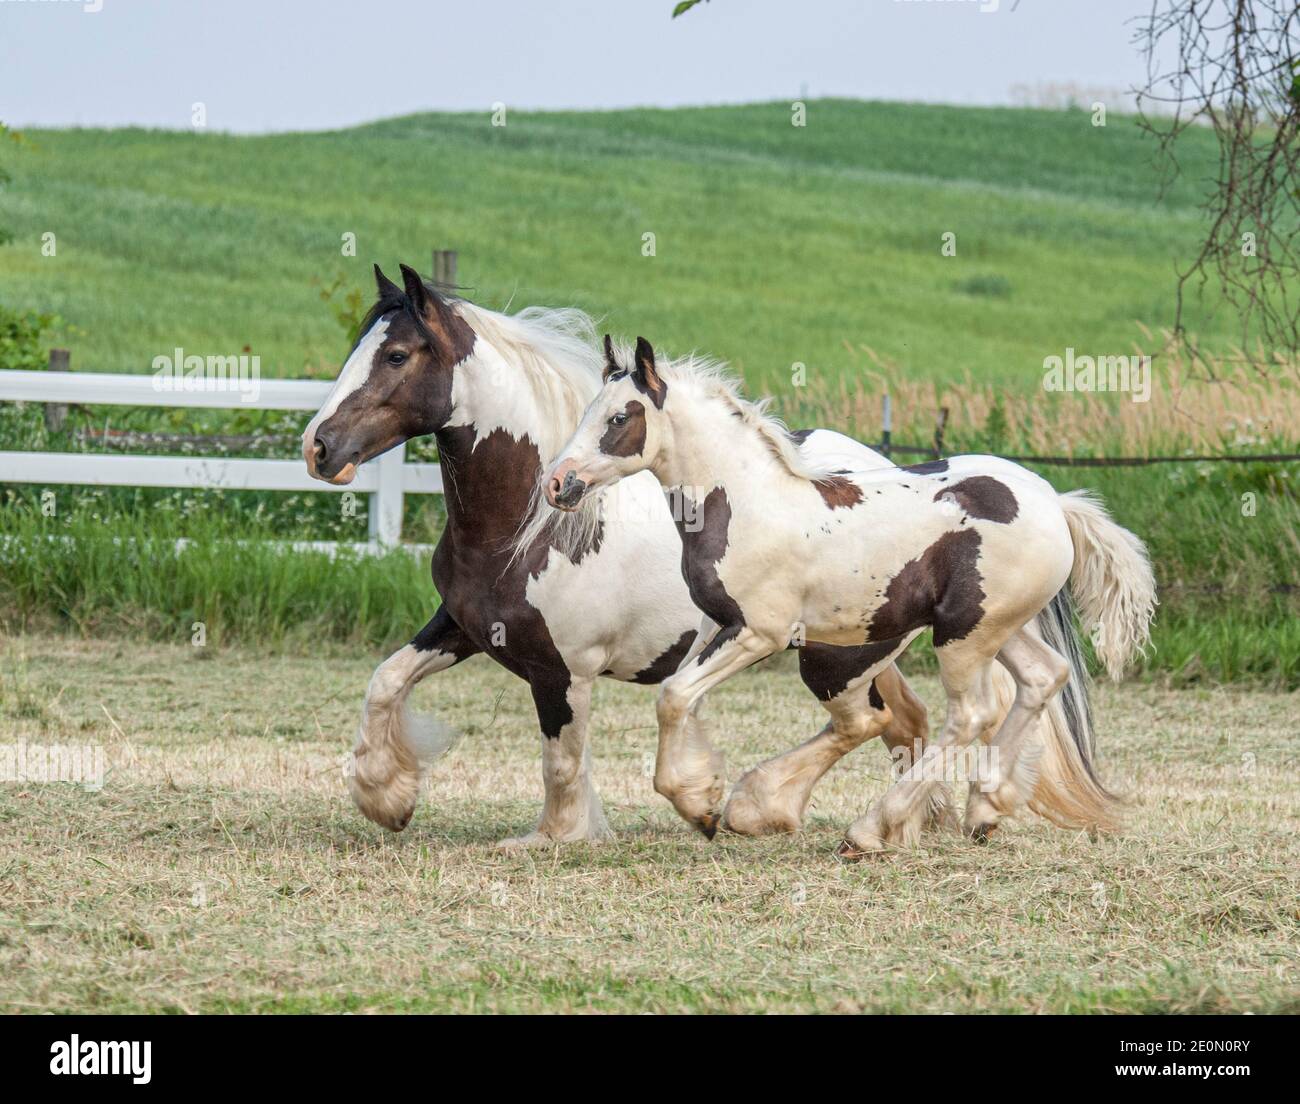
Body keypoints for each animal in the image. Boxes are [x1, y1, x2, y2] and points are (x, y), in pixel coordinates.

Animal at [302, 263, 934, 845]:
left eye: (396, 356)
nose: (318, 447)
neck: (527, 531)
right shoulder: (465, 627)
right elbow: (386, 680)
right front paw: (386, 798)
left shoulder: (563, 670)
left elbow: (561, 761)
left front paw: (560, 835)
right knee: (905, 722)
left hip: (833, 661)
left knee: (869, 722)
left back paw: (768, 809)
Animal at [543, 336, 1156, 854]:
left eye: (619, 417)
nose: (558, 483)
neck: (748, 502)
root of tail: (1054, 501)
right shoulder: (719, 625)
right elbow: (684, 694)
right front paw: (709, 795)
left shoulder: (761, 633)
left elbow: (673, 696)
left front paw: (702, 809)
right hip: (999, 627)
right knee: (1041, 677)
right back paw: (985, 808)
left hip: (963, 638)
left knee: (970, 714)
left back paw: (872, 830)